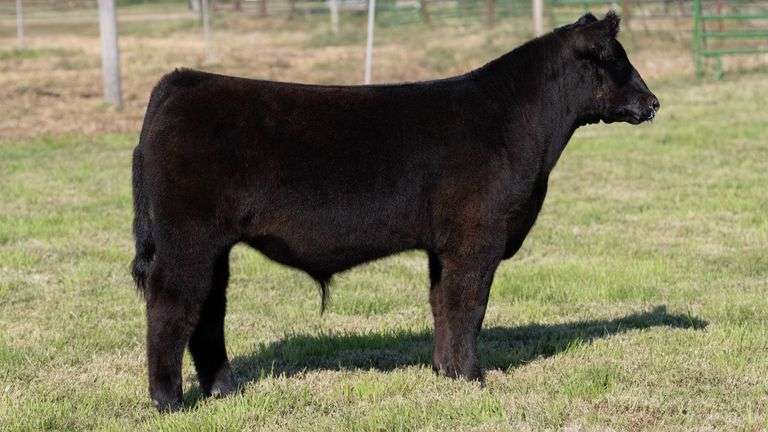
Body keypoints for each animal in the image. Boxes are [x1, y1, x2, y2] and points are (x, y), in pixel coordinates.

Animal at [131, 11, 659, 411]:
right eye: (615, 58)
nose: (653, 102)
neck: (520, 125)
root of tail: (182, 81)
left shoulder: (443, 245)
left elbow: (442, 303)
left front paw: (446, 372)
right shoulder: (478, 237)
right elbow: (470, 305)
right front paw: (474, 377)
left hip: (212, 245)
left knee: (208, 307)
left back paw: (225, 389)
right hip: (188, 237)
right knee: (172, 303)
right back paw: (168, 400)